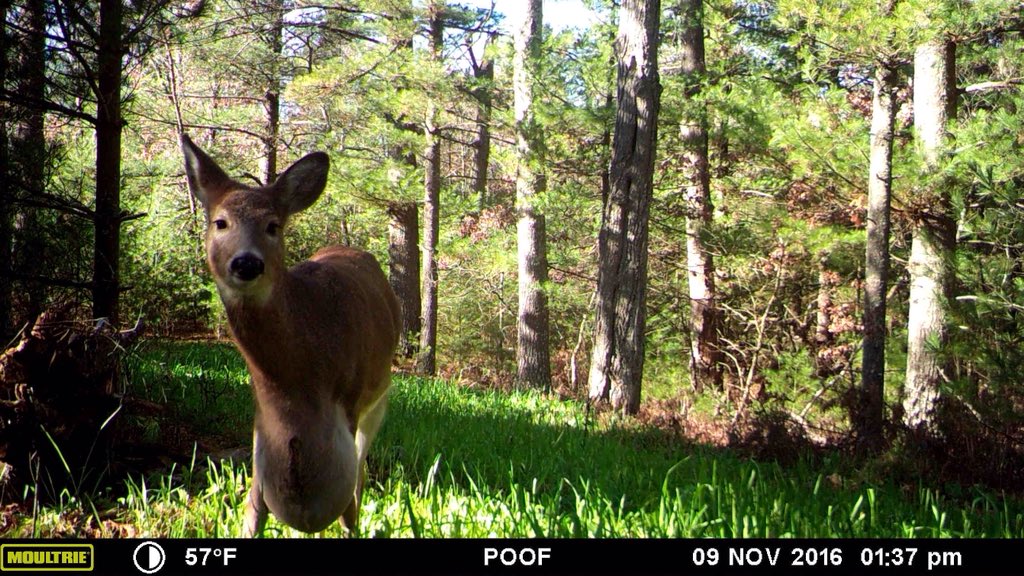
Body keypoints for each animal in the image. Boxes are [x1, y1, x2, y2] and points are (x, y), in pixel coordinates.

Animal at [181, 134, 400, 537]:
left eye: (273, 225)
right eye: (220, 222)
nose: (246, 262)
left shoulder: (349, 409)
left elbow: (348, 510)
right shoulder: (262, 431)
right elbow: (252, 513)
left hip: (378, 400)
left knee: (361, 476)